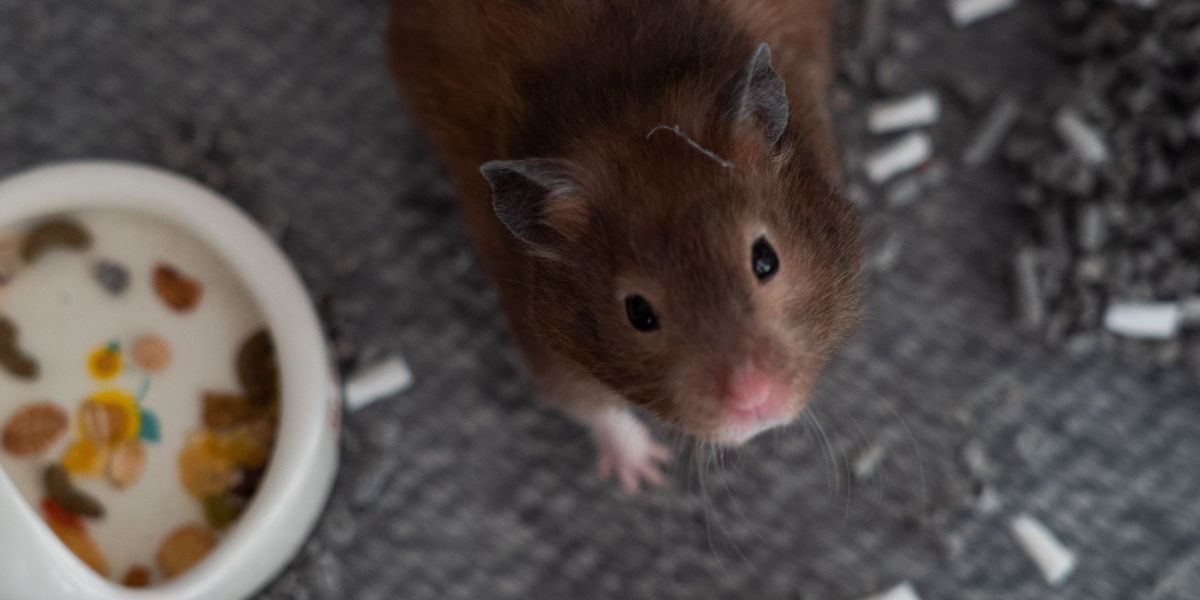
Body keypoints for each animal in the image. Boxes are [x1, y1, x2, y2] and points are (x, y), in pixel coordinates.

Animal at [388, 0, 861, 492]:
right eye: (638, 313)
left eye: (765, 261)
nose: (756, 404)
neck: (626, 107)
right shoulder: (538, 333)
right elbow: (587, 405)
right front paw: (646, 475)